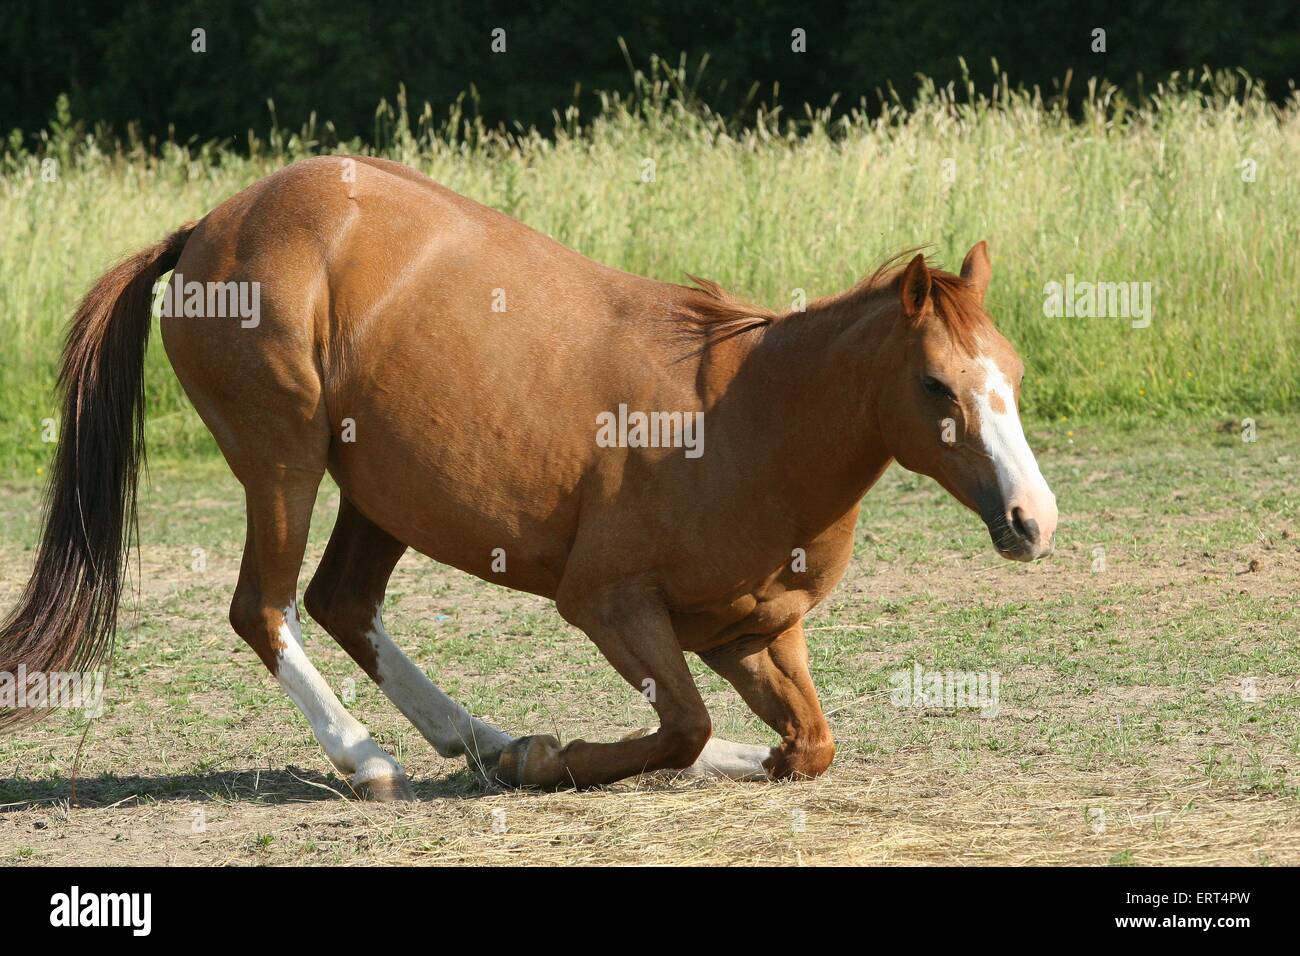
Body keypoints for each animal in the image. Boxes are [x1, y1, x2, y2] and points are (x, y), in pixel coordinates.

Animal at [0, 156, 1057, 799]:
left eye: (1009, 371)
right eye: (936, 385)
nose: (1032, 519)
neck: (745, 418)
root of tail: (205, 229)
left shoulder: (749, 632)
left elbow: (807, 745)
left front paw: (727, 754)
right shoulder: (609, 604)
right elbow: (681, 724)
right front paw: (559, 760)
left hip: (383, 488)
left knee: (342, 601)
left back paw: (481, 738)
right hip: (284, 463)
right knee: (265, 608)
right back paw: (373, 758)